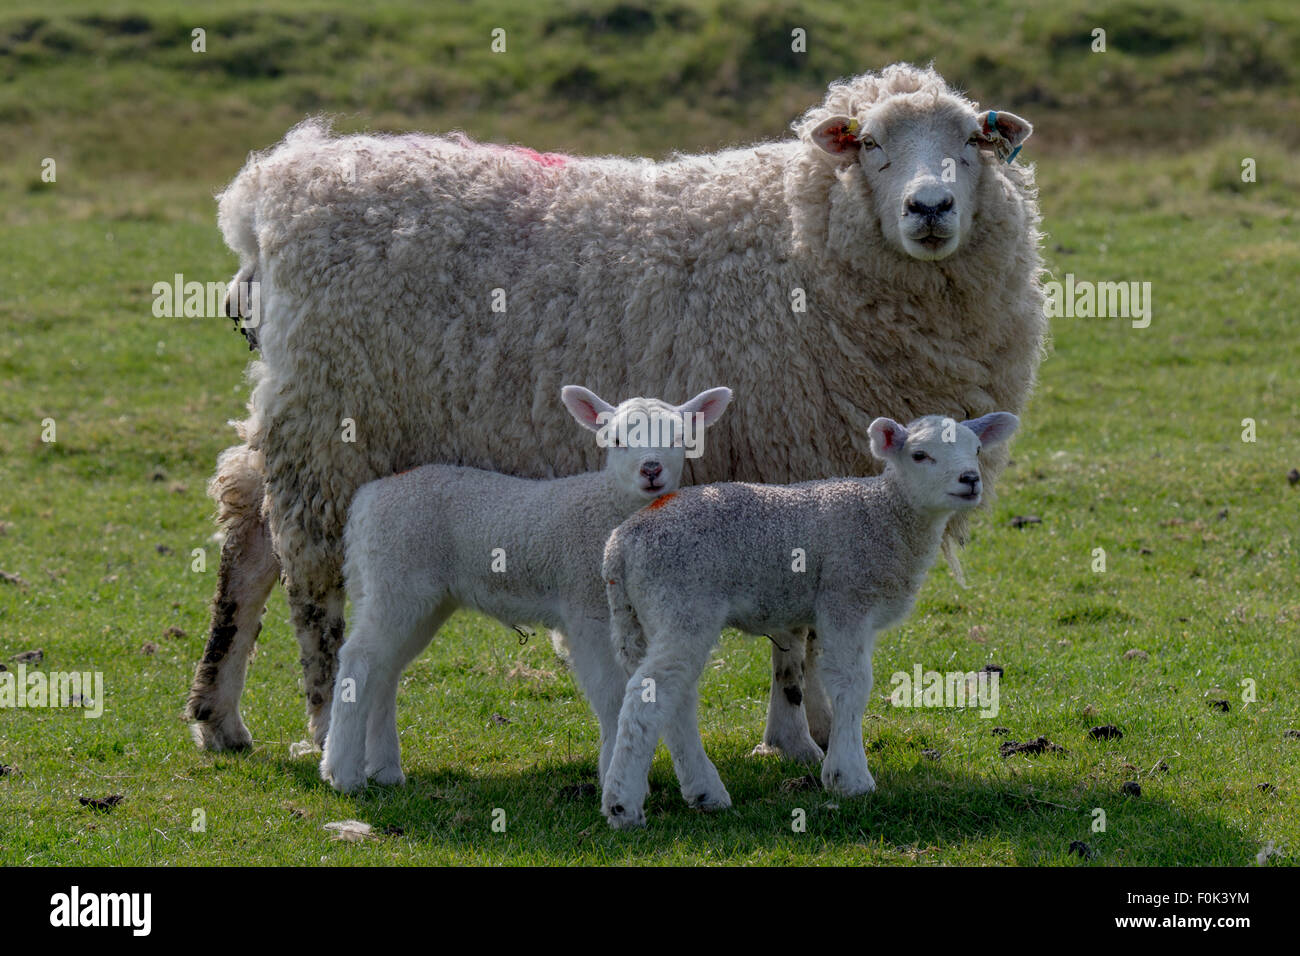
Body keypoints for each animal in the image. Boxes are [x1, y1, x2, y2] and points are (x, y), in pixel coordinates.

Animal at [319, 385, 732, 792]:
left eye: (679, 438)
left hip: (415, 594)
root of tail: (366, 500)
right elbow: (612, 694)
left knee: (385, 670)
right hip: (397, 579)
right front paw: (616, 775)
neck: (609, 507)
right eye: (616, 440)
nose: (651, 470)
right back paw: (343, 773)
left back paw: (384, 769)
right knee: (359, 658)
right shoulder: (588, 609)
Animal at [600, 411, 1020, 829]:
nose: (970, 479)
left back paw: (705, 792)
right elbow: (852, 683)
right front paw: (849, 777)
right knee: (648, 694)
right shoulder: (845, 599)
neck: (881, 514)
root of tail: (620, 546)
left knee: (675, 698)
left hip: (644, 616)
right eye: (919, 455)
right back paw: (623, 805)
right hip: (683, 602)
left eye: (977, 449)